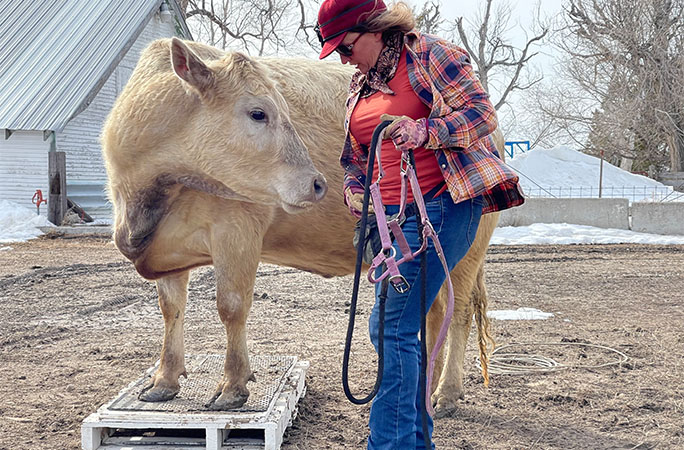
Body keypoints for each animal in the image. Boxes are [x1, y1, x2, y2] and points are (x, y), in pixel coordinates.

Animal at [102, 37, 497, 417]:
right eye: (258, 112)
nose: (317, 184)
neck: (143, 197)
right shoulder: (168, 246)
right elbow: (171, 309)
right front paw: (164, 381)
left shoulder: (237, 230)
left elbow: (231, 306)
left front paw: (233, 387)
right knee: (433, 311)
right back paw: (426, 388)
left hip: (467, 250)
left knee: (459, 311)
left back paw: (446, 392)